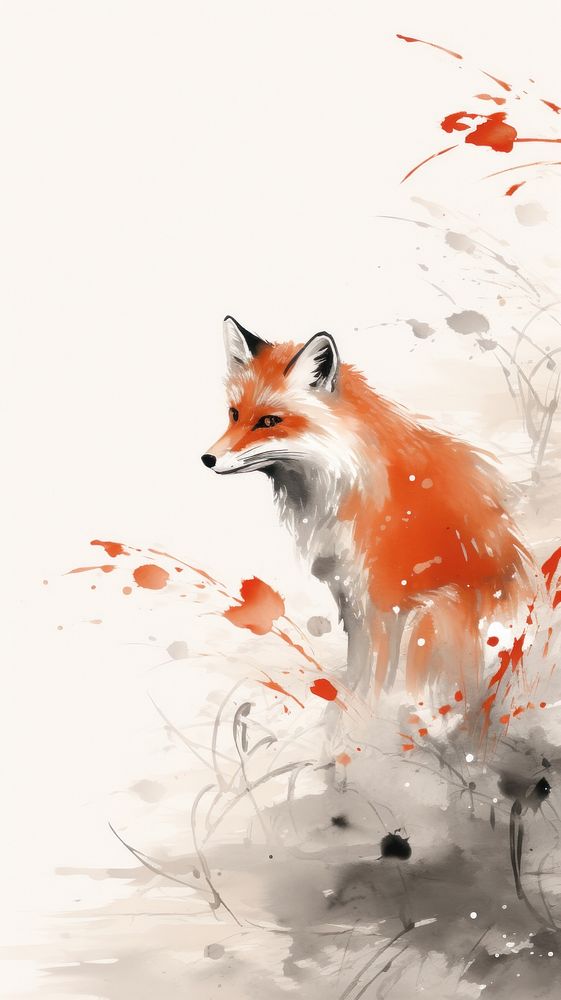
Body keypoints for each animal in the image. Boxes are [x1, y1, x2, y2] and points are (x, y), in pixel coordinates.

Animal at [202, 316, 533, 699]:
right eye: (234, 414)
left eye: (269, 421)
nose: (207, 458)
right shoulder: (351, 598)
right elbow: (358, 671)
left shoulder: (384, 602)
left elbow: (376, 682)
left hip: (436, 614)